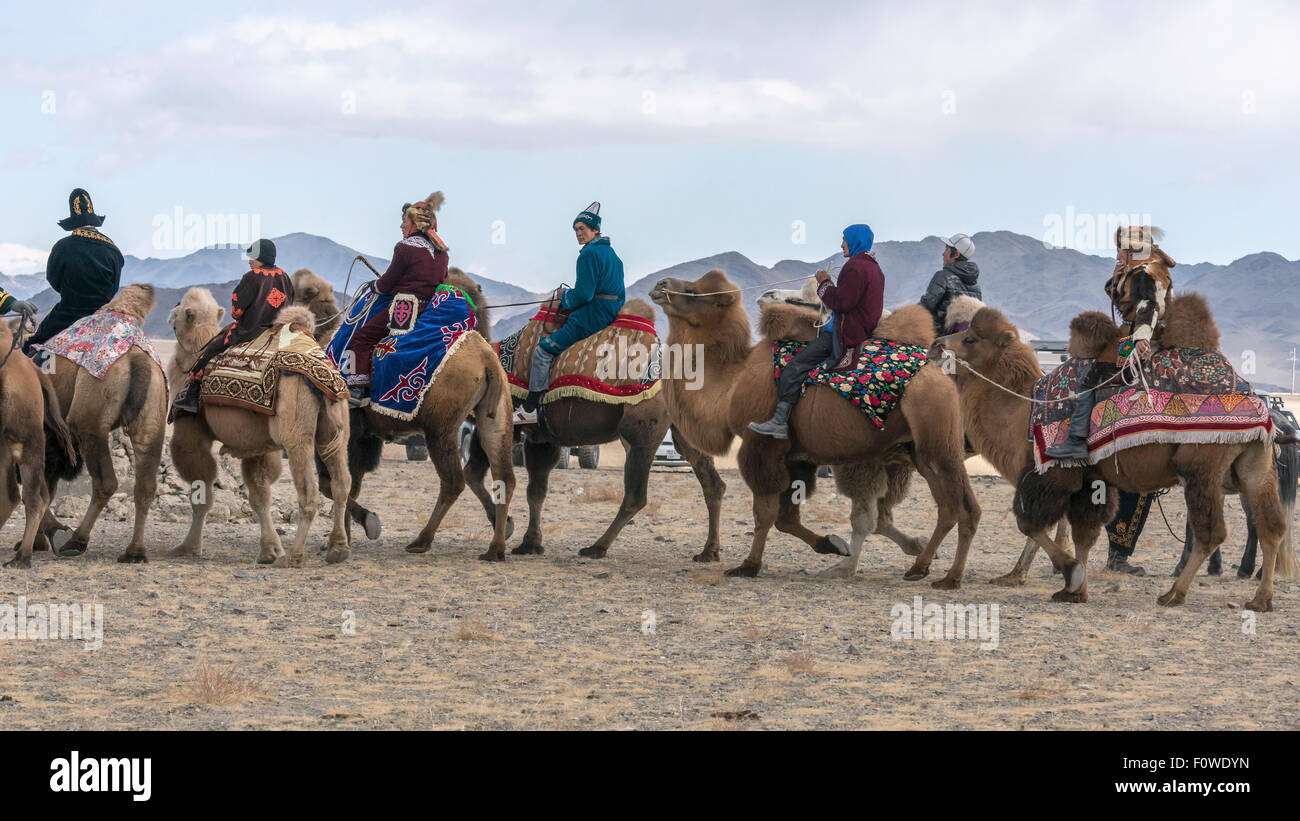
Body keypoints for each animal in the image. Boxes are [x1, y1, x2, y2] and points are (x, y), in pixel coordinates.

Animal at [29, 283, 170, 562]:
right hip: (151, 424)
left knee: (106, 482)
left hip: (89, 426)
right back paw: (134, 551)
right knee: (146, 485)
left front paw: (50, 534)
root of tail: (137, 360)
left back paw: (76, 540)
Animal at [168, 302, 352, 566]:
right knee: (341, 483)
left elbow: (202, 493)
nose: (172, 310)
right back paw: (338, 549)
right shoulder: (254, 444)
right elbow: (259, 495)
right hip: (335, 429)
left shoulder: (190, 431)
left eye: (179, 315)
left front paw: (188, 547)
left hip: (297, 435)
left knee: (309, 493)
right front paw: (270, 551)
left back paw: (294, 556)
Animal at [294, 267, 516, 562]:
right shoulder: (364, 437)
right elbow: (350, 483)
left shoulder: (340, 432)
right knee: (504, 477)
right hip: (494, 419)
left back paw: (422, 540)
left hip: (440, 428)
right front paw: (347, 539)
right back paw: (496, 547)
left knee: (453, 481)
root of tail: (487, 358)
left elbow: (332, 484)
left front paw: (363, 527)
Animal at [650, 269, 980, 584]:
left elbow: (766, 514)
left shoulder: (761, 447)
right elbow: (787, 518)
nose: (660, 284)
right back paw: (925, 566)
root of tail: (942, 375)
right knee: (959, 507)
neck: (733, 383)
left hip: (934, 445)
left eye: (692, 290)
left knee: (956, 506)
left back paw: (942, 574)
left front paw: (749, 565)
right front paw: (832, 544)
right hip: (920, 450)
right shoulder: (796, 457)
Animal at [934, 298, 1294, 610]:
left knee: (1212, 531)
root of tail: (1259, 404)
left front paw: (1068, 574)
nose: (937, 343)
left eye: (969, 337)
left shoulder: (1052, 473)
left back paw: (1174, 593)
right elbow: (1084, 534)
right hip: (1254, 466)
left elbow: (1031, 524)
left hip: (1200, 464)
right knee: (1271, 526)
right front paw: (1074, 591)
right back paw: (1261, 598)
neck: (1022, 411)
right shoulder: (1090, 480)